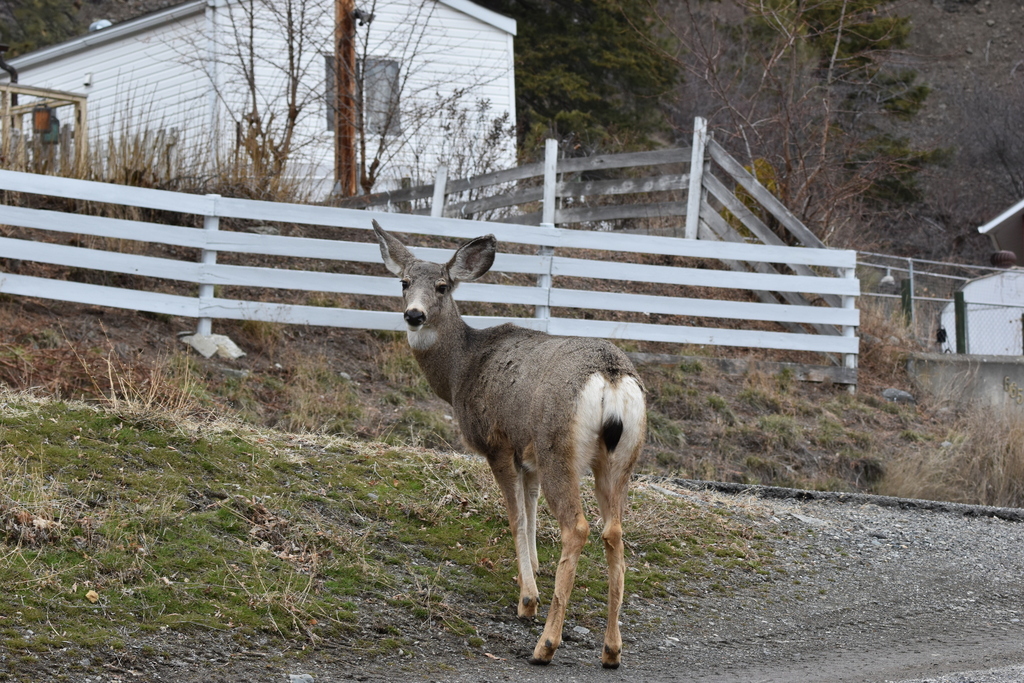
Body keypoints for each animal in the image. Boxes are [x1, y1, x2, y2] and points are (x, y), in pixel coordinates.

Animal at [371, 220, 647, 668]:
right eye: (404, 282)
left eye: (443, 286)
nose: (414, 314)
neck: (460, 372)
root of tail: (610, 377)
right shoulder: (526, 452)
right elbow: (531, 511)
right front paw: (532, 568)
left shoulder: (497, 442)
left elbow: (515, 516)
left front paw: (527, 598)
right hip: (620, 459)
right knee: (614, 531)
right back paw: (611, 650)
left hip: (559, 447)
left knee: (577, 527)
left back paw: (546, 645)